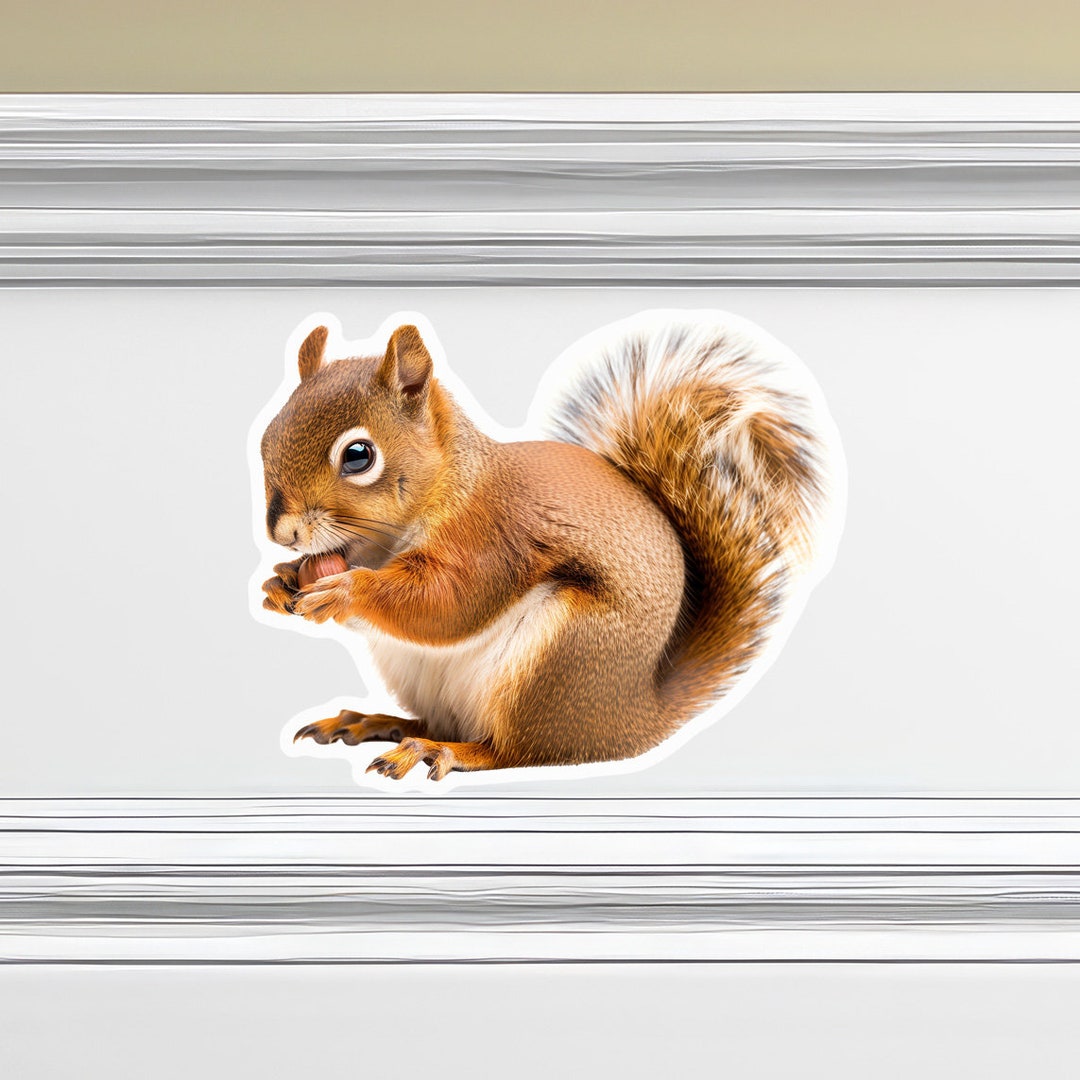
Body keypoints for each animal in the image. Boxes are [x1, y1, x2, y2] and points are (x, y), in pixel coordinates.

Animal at [258, 310, 842, 782]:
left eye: (358, 455)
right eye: (266, 438)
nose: (281, 533)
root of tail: (636, 717)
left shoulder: (495, 536)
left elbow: (449, 603)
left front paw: (345, 592)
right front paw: (280, 582)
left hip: (557, 661)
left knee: (515, 750)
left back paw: (440, 750)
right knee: (443, 719)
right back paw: (374, 721)